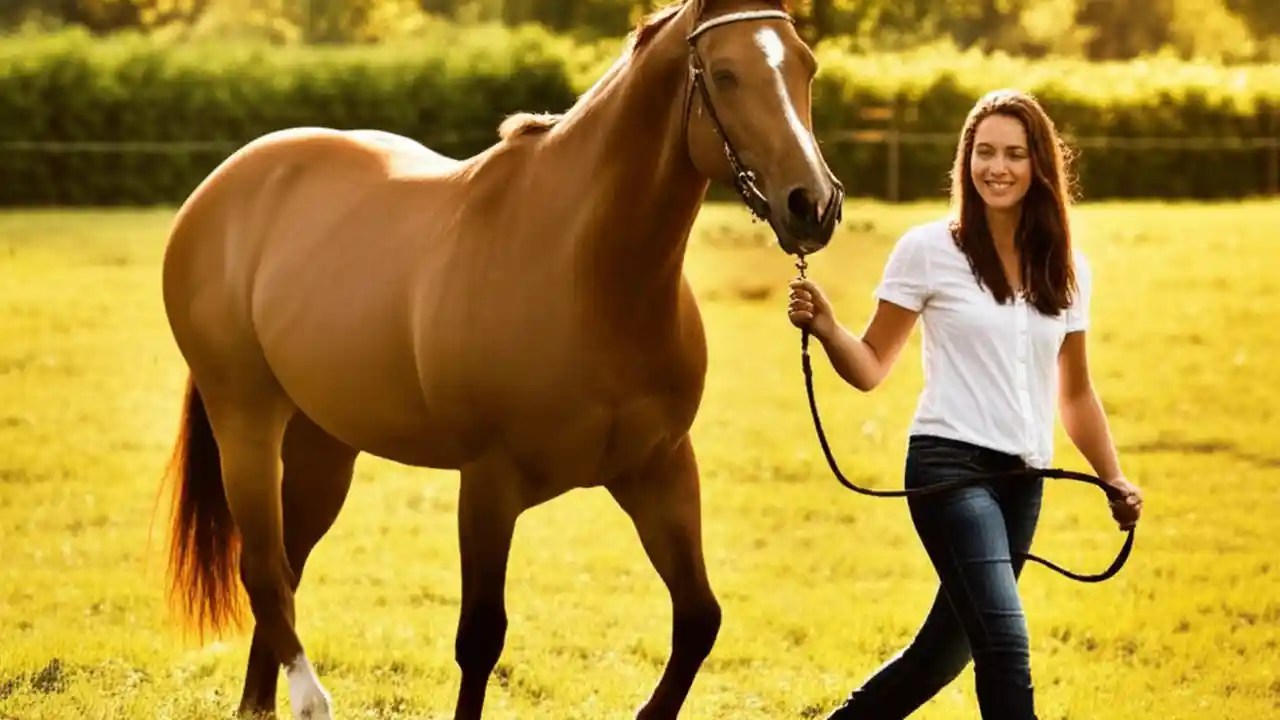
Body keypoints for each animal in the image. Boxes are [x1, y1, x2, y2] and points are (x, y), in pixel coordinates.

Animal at [159, 1, 844, 718]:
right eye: (724, 73)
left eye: (806, 64)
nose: (813, 204)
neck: (586, 270)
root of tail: (223, 186)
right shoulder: (489, 482)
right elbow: (481, 639)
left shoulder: (660, 470)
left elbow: (699, 619)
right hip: (246, 421)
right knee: (264, 569)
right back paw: (311, 699)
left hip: (324, 446)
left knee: (284, 570)